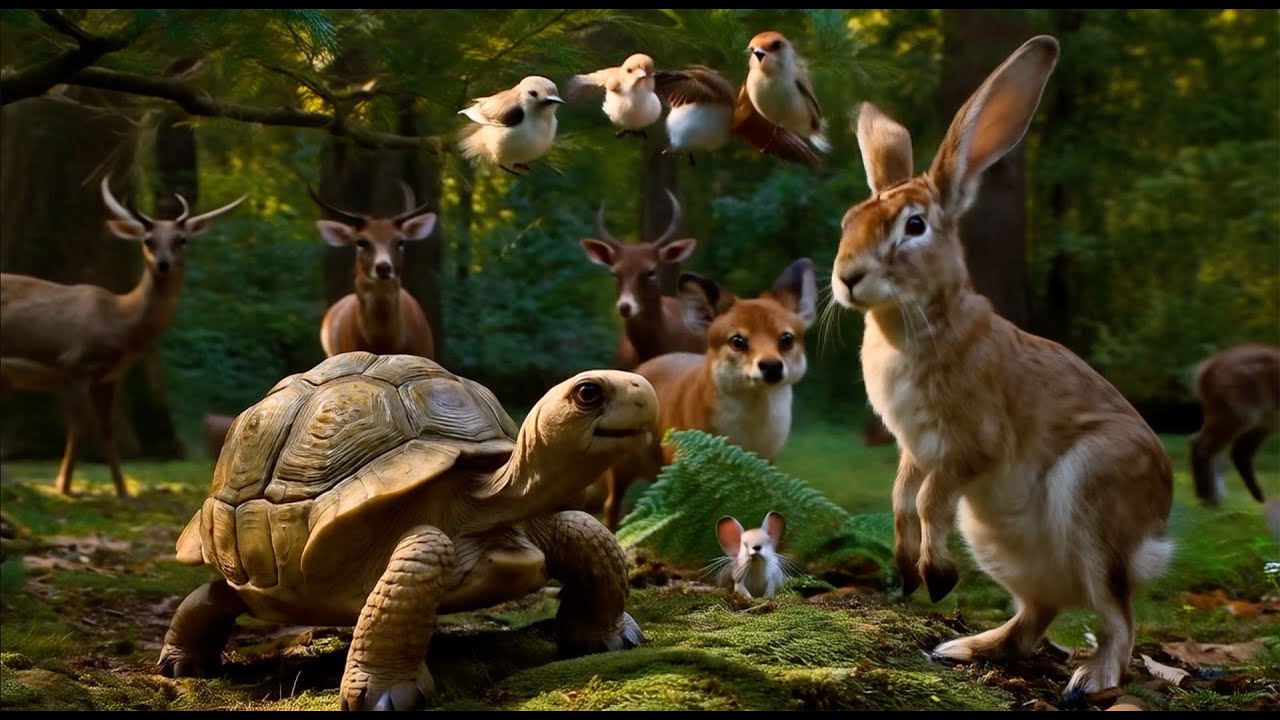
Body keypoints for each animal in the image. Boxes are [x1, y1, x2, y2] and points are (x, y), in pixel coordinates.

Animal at [828, 35, 1173, 700]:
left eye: (915, 226)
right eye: (848, 221)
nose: (847, 278)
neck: (927, 320)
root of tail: (1157, 537)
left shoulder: (969, 448)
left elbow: (928, 498)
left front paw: (933, 575)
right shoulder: (914, 447)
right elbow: (902, 497)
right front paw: (908, 573)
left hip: (1095, 501)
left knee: (1118, 615)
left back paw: (1090, 680)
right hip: (997, 539)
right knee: (1037, 615)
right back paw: (963, 647)